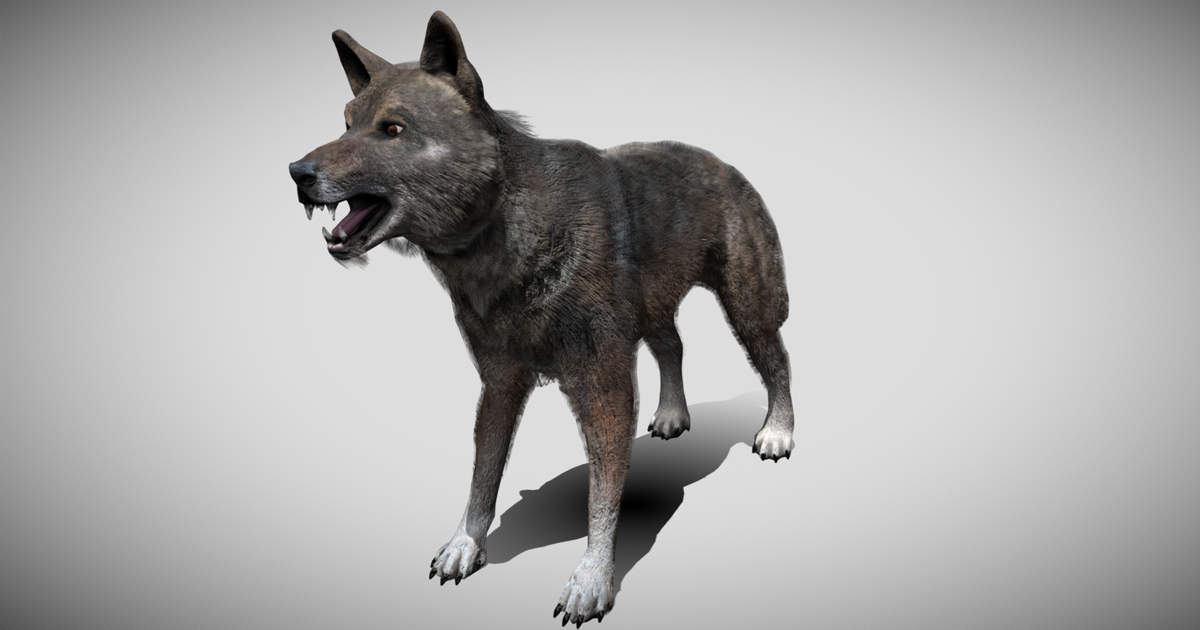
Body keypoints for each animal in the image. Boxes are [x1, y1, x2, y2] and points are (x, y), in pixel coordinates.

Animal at [289, 11, 794, 626]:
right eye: (344, 125)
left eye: (392, 129)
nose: (297, 172)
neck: (508, 235)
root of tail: (725, 164)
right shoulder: (500, 382)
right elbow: (483, 475)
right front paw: (465, 545)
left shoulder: (601, 384)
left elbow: (602, 495)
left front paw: (591, 580)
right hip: (653, 310)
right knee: (673, 346)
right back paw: (673, 414)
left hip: (749, 307)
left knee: (777, 360)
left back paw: (778, 431)